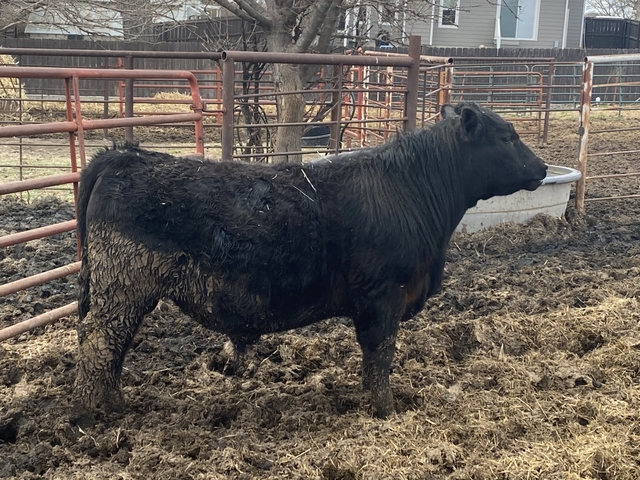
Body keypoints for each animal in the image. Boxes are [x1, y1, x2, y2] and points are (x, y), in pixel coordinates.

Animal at [75, 102, 547, 418]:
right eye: (507, 137)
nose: (542, 168)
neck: (412, 191)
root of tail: (124, 155)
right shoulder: (383, 296)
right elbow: (381, 354)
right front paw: (385, 409)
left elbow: (371, 358)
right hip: (122, 287)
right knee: (101, 346)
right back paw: (102, 412)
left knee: (102, 346)